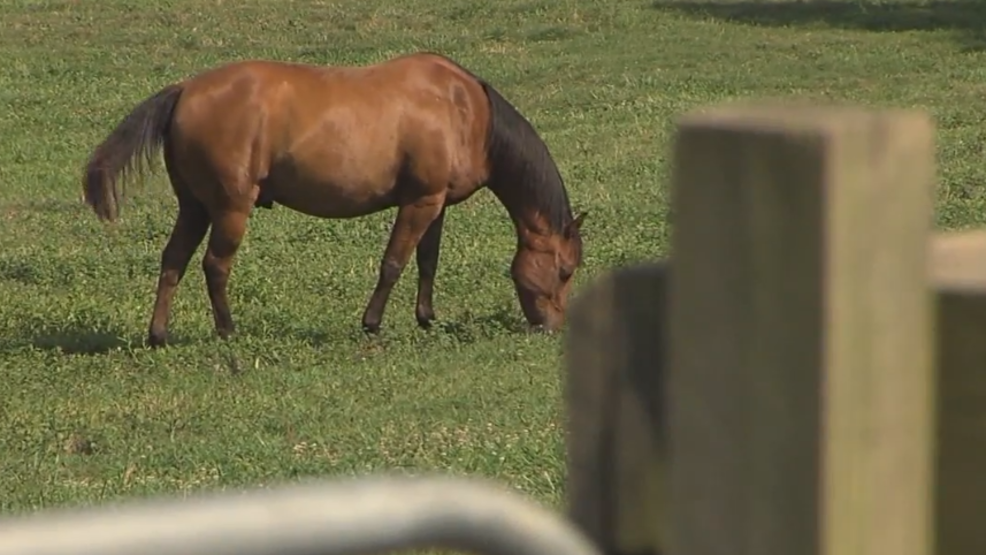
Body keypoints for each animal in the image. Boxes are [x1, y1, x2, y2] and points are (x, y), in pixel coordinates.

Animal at [82, 51, 586, 348]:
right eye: (563, 270)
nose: (552, 328)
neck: (464, 109)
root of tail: (184, 89)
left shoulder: (434, 202)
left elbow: (427, 262)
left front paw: (426, 318)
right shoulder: (419, 203)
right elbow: (394, 263)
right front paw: (372, 323)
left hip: (195, 207)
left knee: (174, 260)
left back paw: (158, 335)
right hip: (229, 208)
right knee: (214, 266)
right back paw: (227, 330)